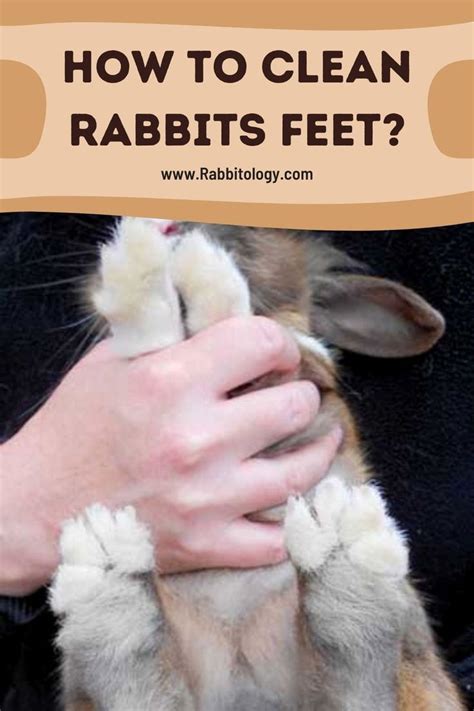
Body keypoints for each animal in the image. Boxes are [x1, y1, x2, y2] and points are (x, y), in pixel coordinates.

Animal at [49, 218, 464, 710]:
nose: (167, 226)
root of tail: (246, 692)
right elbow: (150, 345)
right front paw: (139, 272)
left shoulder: (301, 376)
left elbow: (256, 342)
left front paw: (199, 276)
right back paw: (109, 582)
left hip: (417, 670)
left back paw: (343, 553)